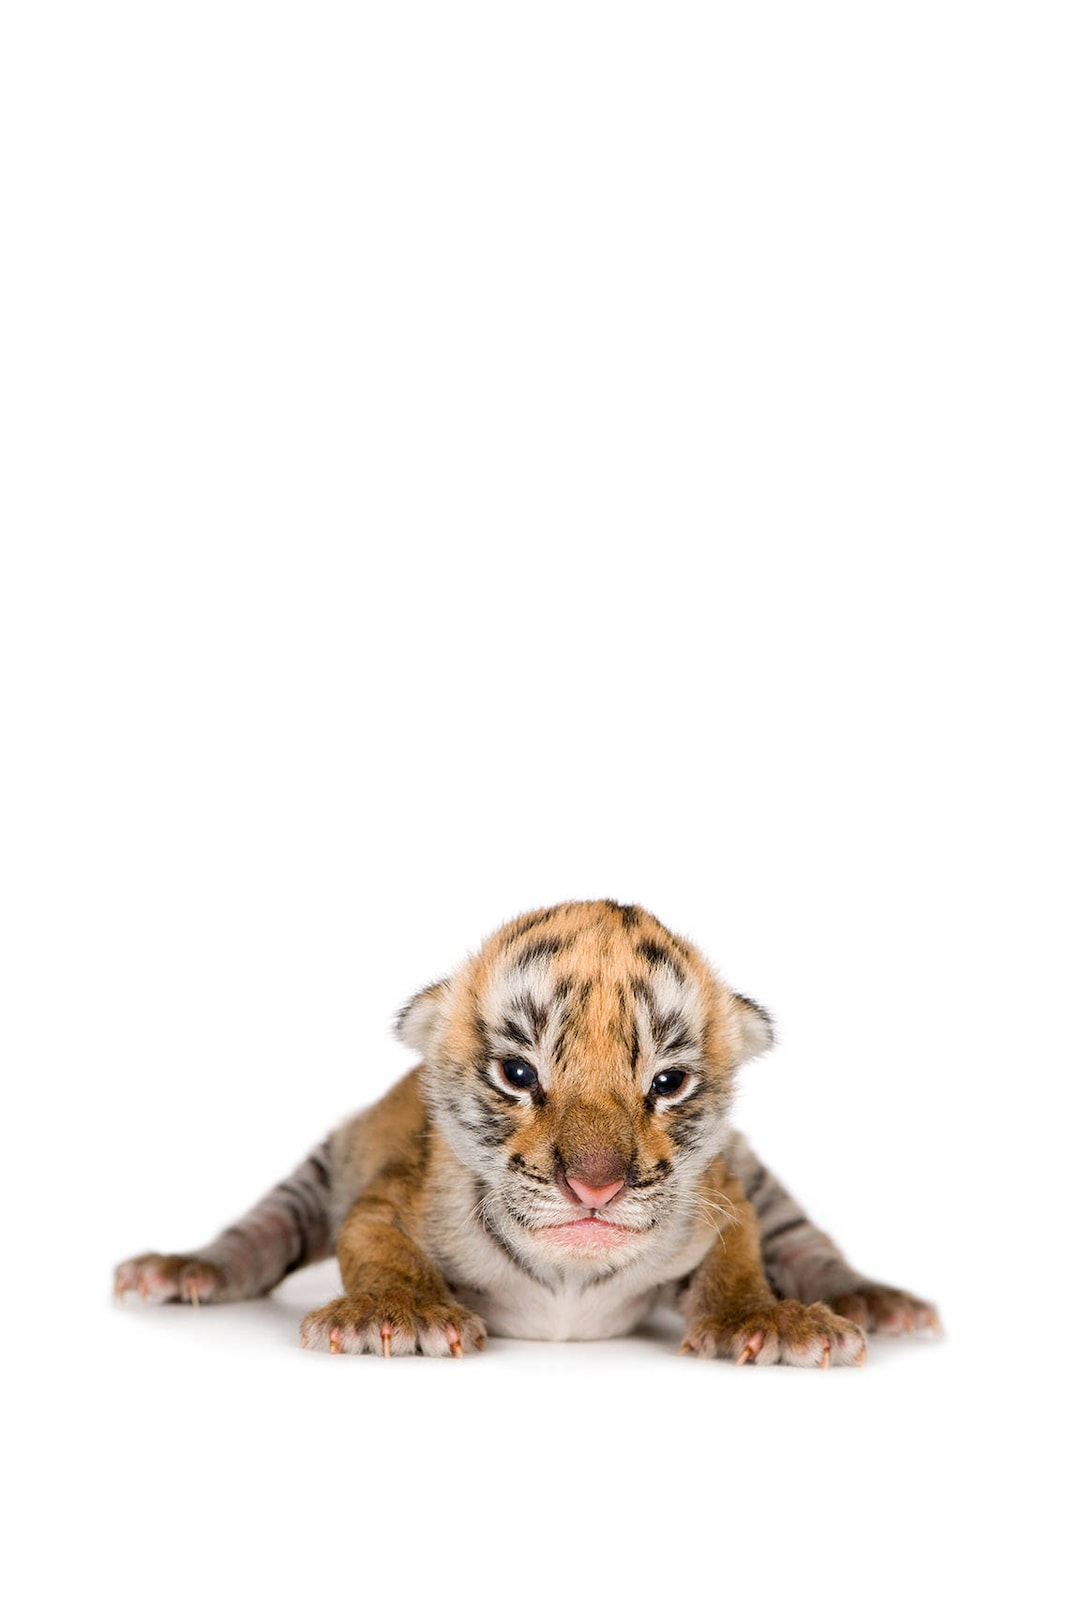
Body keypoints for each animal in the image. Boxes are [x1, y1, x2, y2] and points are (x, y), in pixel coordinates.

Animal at [114, 900, 939, 1365]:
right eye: (518, 1074)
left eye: (667, 1084)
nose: (595, 1187)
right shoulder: (387, 1201)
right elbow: (378, 1249)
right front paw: (396, 1315)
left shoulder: (724, 1203)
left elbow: (740, 1265)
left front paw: (761, 1320)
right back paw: (181, 1270)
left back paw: (879, 1301)